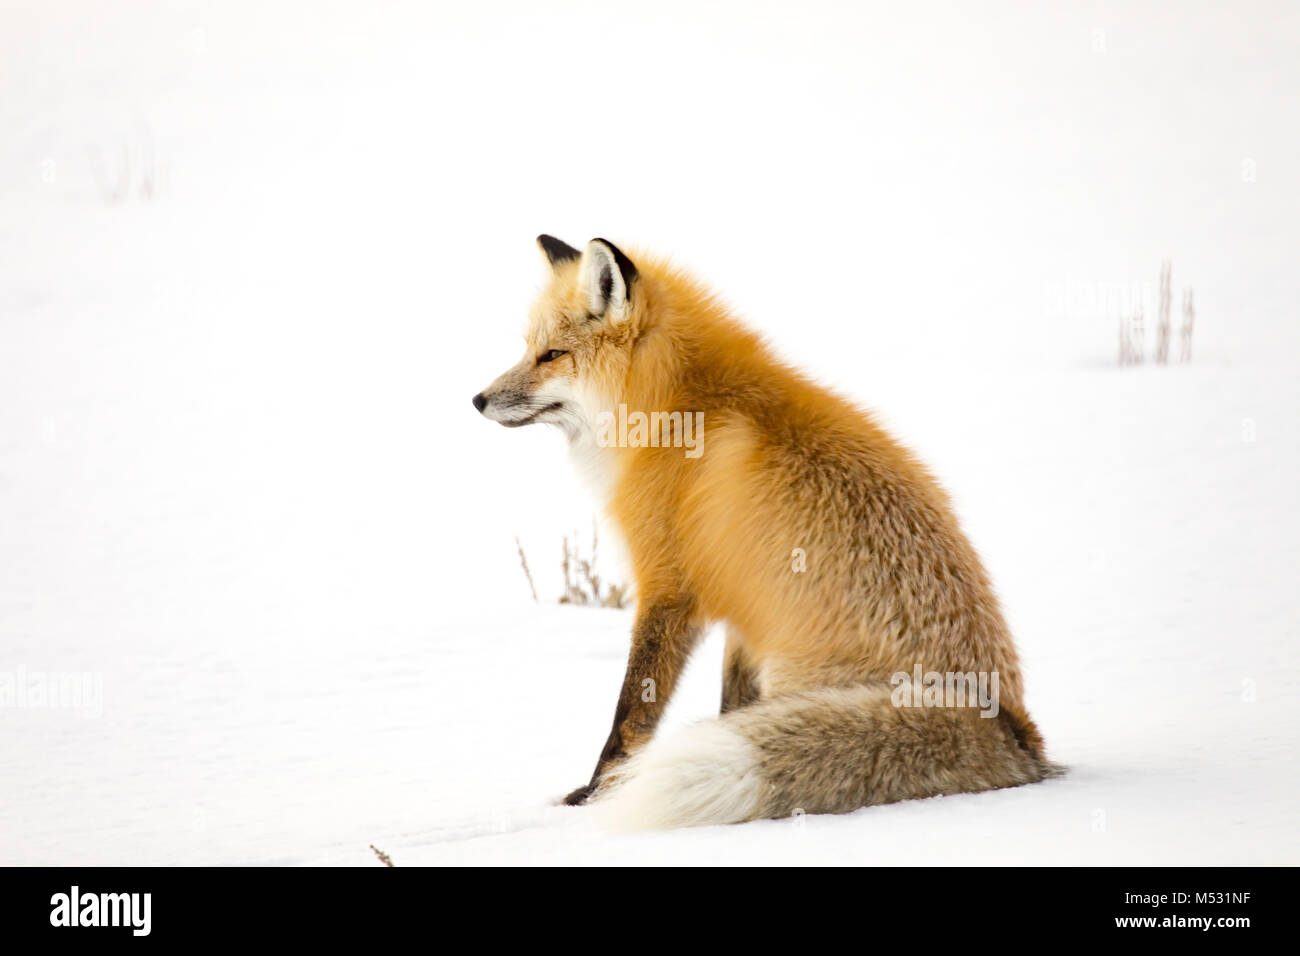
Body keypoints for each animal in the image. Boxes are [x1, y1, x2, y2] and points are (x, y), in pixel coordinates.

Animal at [472, 235, 1060, 829]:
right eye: (528, 348)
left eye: (551, 355)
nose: (477, 399)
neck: (679, 406)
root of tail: (1013, 730)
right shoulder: (743, 604)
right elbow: (732, 704)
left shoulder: (669, 586)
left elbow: (631, 713)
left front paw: (595, 796)